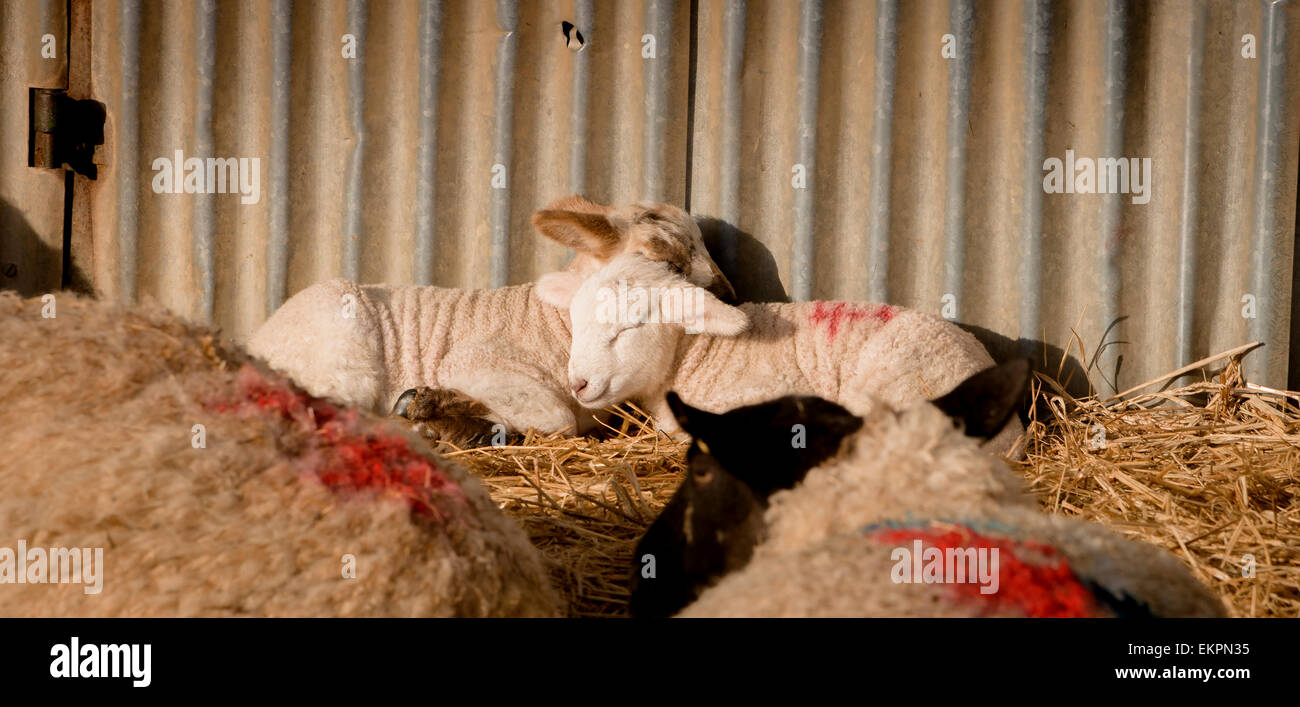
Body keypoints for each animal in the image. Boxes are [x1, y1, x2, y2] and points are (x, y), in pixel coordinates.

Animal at [248, 197, 735, 441]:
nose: (731, 294)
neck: (552, 322)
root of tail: (257, 340)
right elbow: (556, 417)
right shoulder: (477, 362)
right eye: (668, 259)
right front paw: (450, 414)